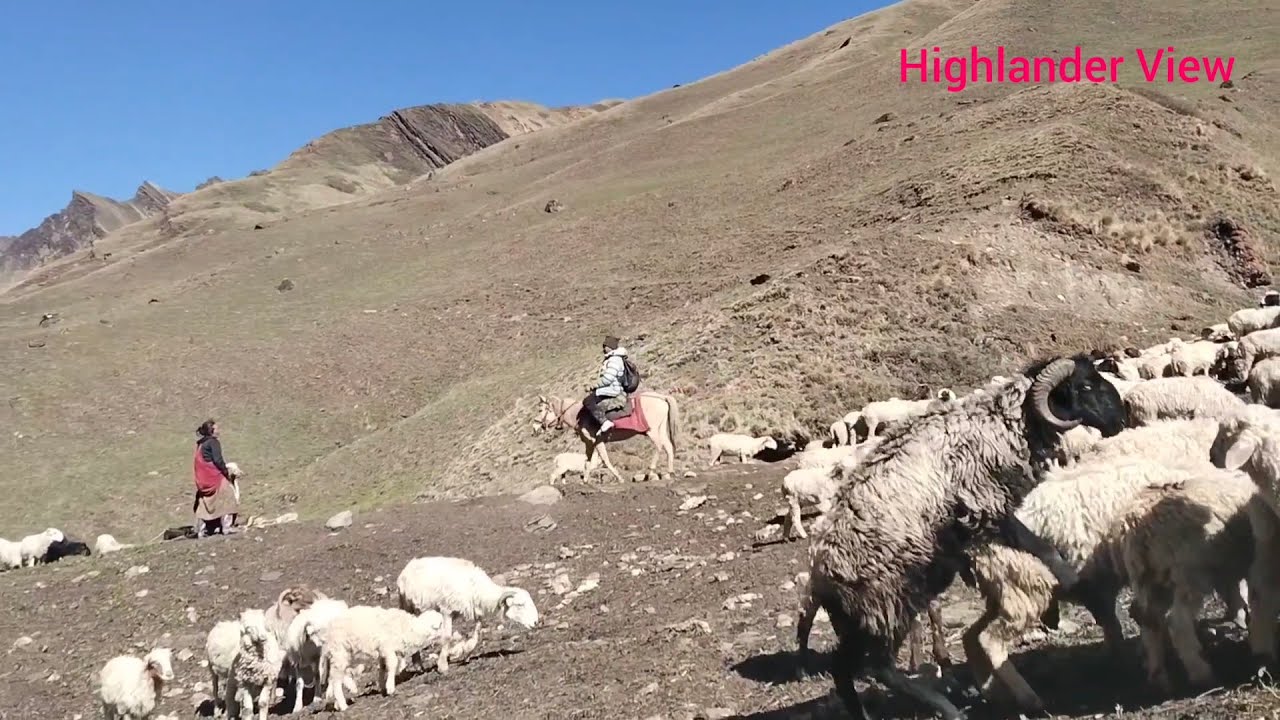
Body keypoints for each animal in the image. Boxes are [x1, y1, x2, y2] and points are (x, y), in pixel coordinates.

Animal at [311, 605, 446, 712]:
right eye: (440, 625)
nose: (448, 635)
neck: (409, 629)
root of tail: (326, 637)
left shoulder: (383, 652)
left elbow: (383, 667)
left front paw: (382, 686)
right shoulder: (387, 647)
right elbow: (393, 664)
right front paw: (391, 688)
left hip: (343, 655)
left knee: (336, 676)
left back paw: (342, 698)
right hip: (340, 652)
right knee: (336, 679)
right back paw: (343, 705)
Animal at [395, 555, 539, 674]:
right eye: (520, 605)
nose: (536, 622)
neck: (475, 585)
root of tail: (410, 565)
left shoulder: (475, 610)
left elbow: (477, 633)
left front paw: (465, 651)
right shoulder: (446, 610)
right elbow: (447, 637)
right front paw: (442, 666)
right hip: (407, 606)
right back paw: (418, 665)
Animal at [802, 355, 1126, 720]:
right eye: (1084, 386)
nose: (1119, 418)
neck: (997, 426)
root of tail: (820, 577)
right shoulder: (985, 506)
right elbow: (1036, 543)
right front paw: (1069, 577)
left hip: (881, 610)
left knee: (861, 668)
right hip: (881, 606)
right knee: (865, 669)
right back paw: (941, 708)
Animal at [961, 458, 1237, 714]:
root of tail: (976, 545)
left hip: (1007, 590)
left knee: (971, 636)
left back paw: (993, 693)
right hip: (1027, 585)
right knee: (989, 639)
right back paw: (1029, 698)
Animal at [1110, 470, 1264, 693]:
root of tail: (1135, 523)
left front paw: (1242, 617)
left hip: (1149, 578)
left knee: (1148, 620)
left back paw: (1158, 678)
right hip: (1190, 573)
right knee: (1178, 624)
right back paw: (1203, 675)